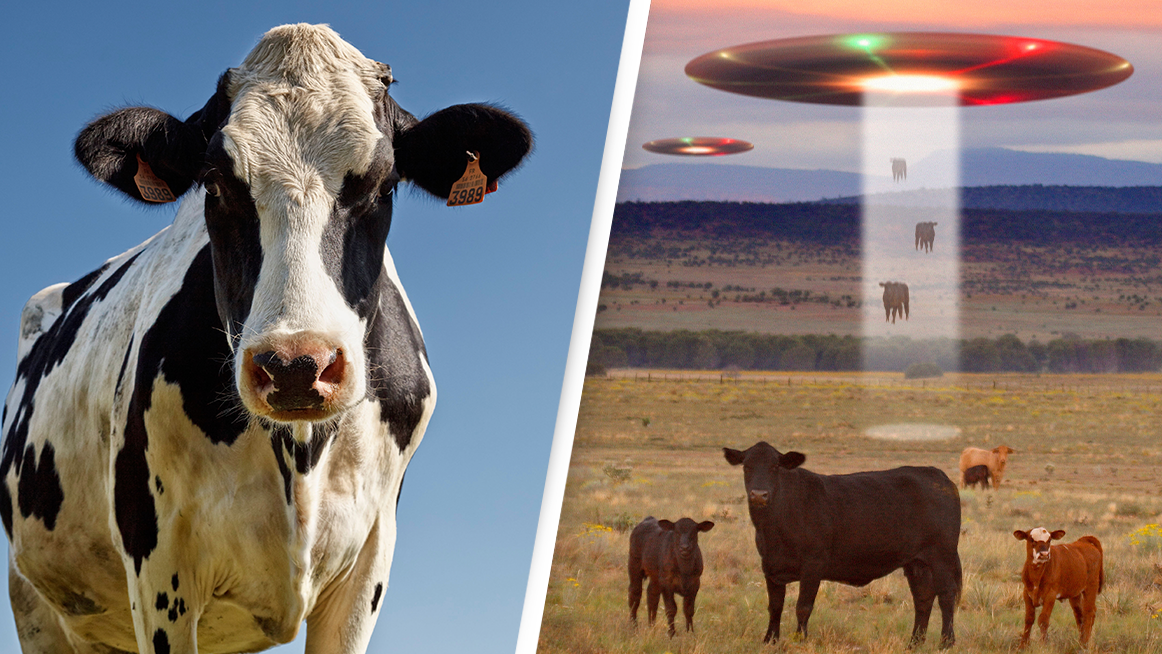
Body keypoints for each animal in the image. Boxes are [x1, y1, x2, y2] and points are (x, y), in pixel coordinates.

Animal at [0, 24, 531, 654]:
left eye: (383, 184)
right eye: (215, 183)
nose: (296, 366)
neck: (299, 456)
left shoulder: (370, 560)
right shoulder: (158, 567)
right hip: (34, 602)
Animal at [724, 442, 962, 648]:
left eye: (775, 467)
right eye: (746, 466)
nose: (759, 495)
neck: (774, 529)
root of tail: (936, 475)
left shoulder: (813, 565)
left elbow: (803, 607)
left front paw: (800, 640)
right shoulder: (770, 566)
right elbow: (775, 606)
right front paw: (769, 640)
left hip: (942, 555)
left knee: (946, 595)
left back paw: (946, 642)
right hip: (916, 563)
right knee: (923, 598)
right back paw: (914, 643)